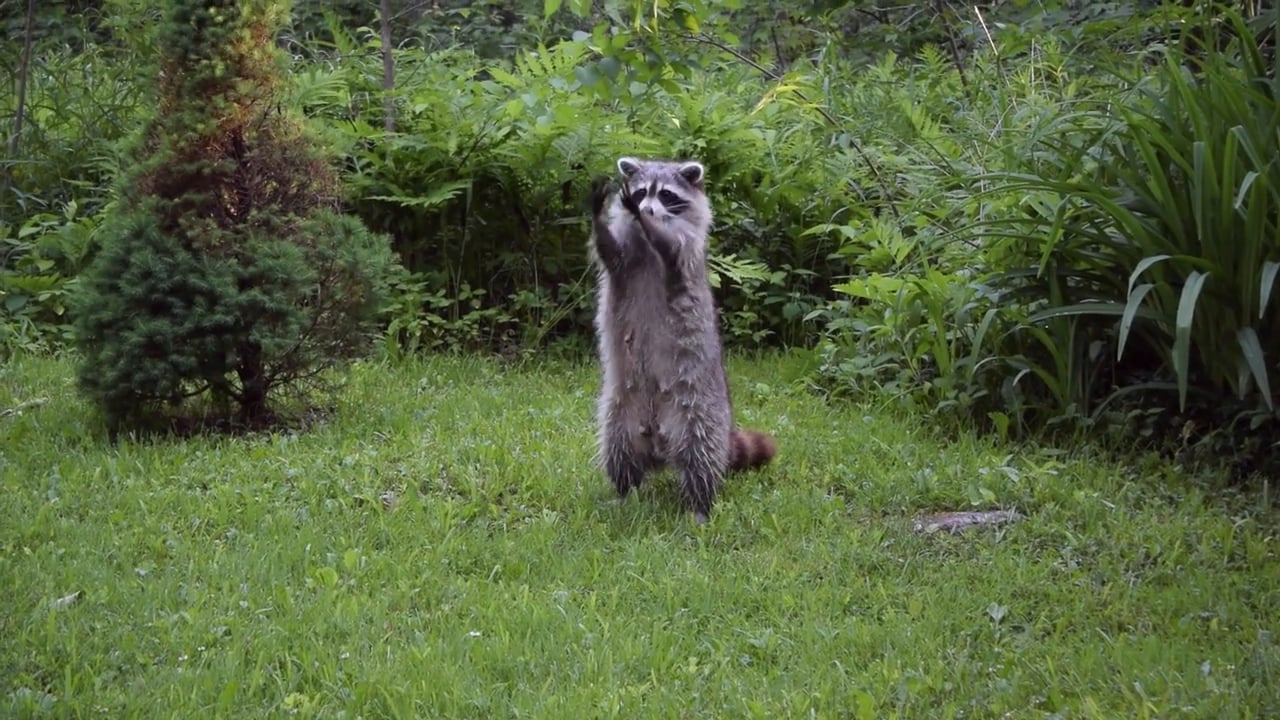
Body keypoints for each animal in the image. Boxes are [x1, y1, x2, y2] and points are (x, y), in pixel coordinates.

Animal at [589, 156, 777, 523]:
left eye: (666, 194)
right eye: (642, 191)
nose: (645, 209)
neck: (644, 244)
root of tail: (659, 446)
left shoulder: (684, 255)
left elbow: (668, 246)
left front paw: (648, 223)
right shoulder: (622, 262)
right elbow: (609, 251)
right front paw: (600, 214)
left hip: (698, 408)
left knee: (699, 453)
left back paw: (701, 503)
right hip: (620, 411)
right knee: (617, 447)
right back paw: (624, 491)